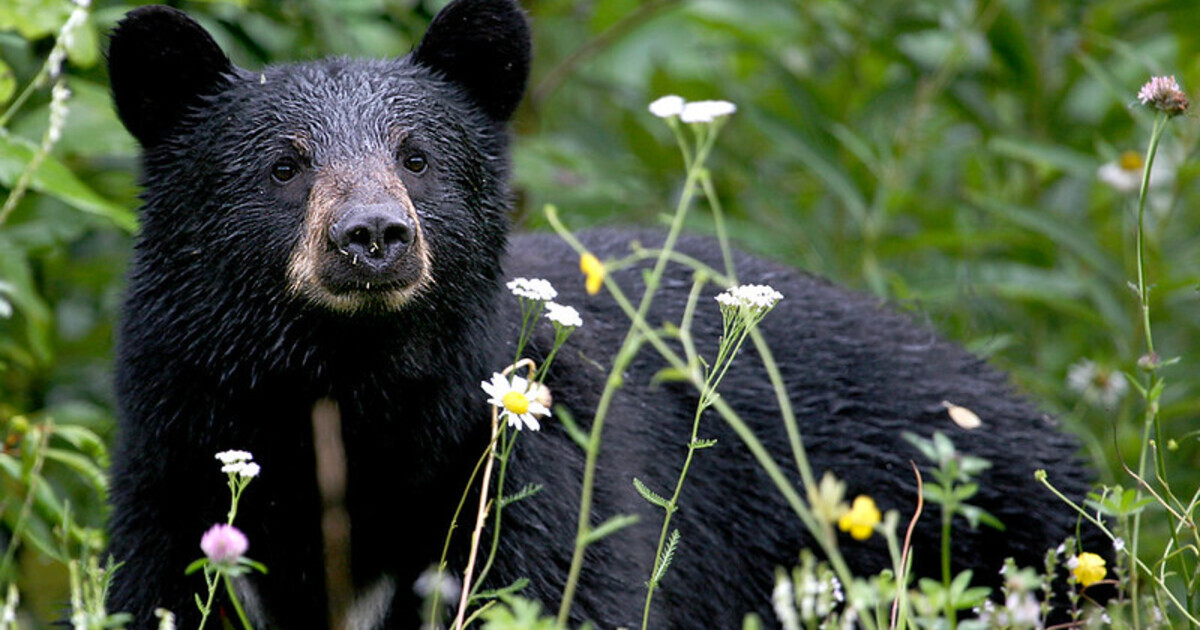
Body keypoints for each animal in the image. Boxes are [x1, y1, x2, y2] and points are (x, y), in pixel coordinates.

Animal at [104, 0, 1104, 628]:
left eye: (418, 157)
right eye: (285, 164)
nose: (374, 235)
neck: (351, 393)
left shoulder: (532, 462)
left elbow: (563, 591)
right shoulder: (175, 451)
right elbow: (159, 591)